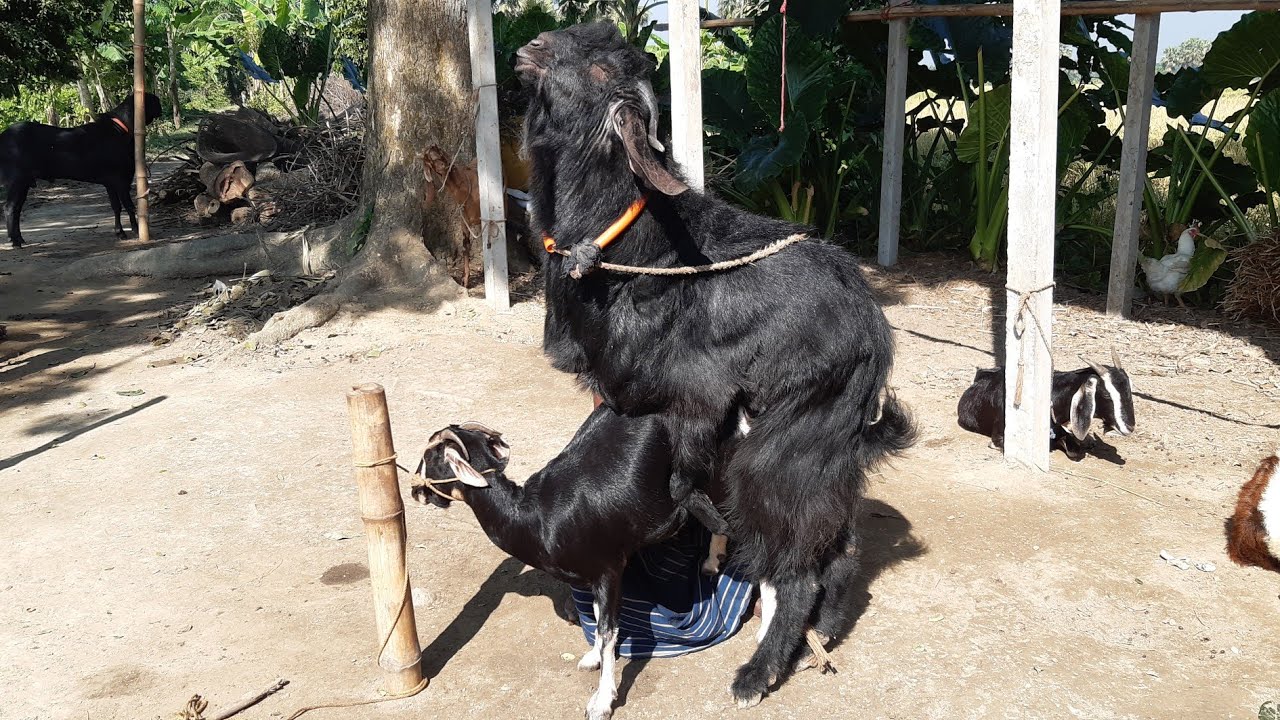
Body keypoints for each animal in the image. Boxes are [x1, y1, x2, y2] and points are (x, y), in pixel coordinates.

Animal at [1, 93, 162, 248]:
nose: (160, 108)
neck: (121, 129)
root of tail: (3, 137)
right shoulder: (121, 180)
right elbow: (129, 206)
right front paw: (136, 229)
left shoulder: (110, 182)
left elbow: (116, 207)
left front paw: (119, 232)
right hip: (17, 180)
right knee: (10, 208)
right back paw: (15, 241)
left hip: (24, 183)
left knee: (17, 209)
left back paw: (19, 238)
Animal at [412, 412, 725, 720]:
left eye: (431, 457)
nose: (416, 491)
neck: (534, 518)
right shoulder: (594, 577)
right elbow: (599, 619)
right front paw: (593, 658)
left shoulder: (609, 569)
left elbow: (607, 630)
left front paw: (602, 702)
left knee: (721, 513)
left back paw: (713, 561)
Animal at [516, 21, 915, 706]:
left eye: (602, 71)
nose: (531, 45)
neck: (629, 246)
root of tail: (872, 329)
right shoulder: (618, 398)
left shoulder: (689, 400)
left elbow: (680, 483)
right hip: (823, 457)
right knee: (841, 544)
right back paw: (825, 633)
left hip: (782, 451)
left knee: (801, 569)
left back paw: (757, 674)